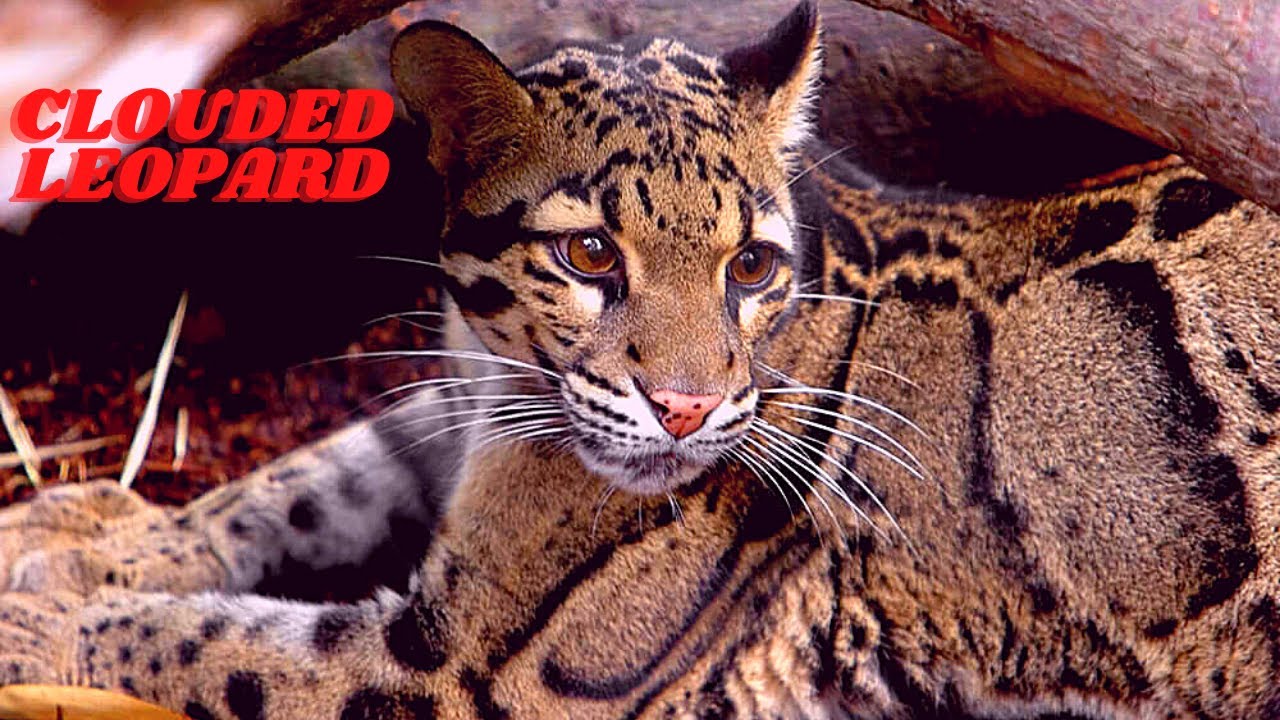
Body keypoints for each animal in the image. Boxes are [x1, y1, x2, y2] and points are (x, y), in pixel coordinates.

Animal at [1, 2, 1279, 718]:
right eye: (587, 253)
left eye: (749, 268)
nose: (684, 412)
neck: (509, 385)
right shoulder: (456, 411)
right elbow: (303, 482)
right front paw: (81, 534)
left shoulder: (470, 671)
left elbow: (210, 639)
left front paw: (45, 619)